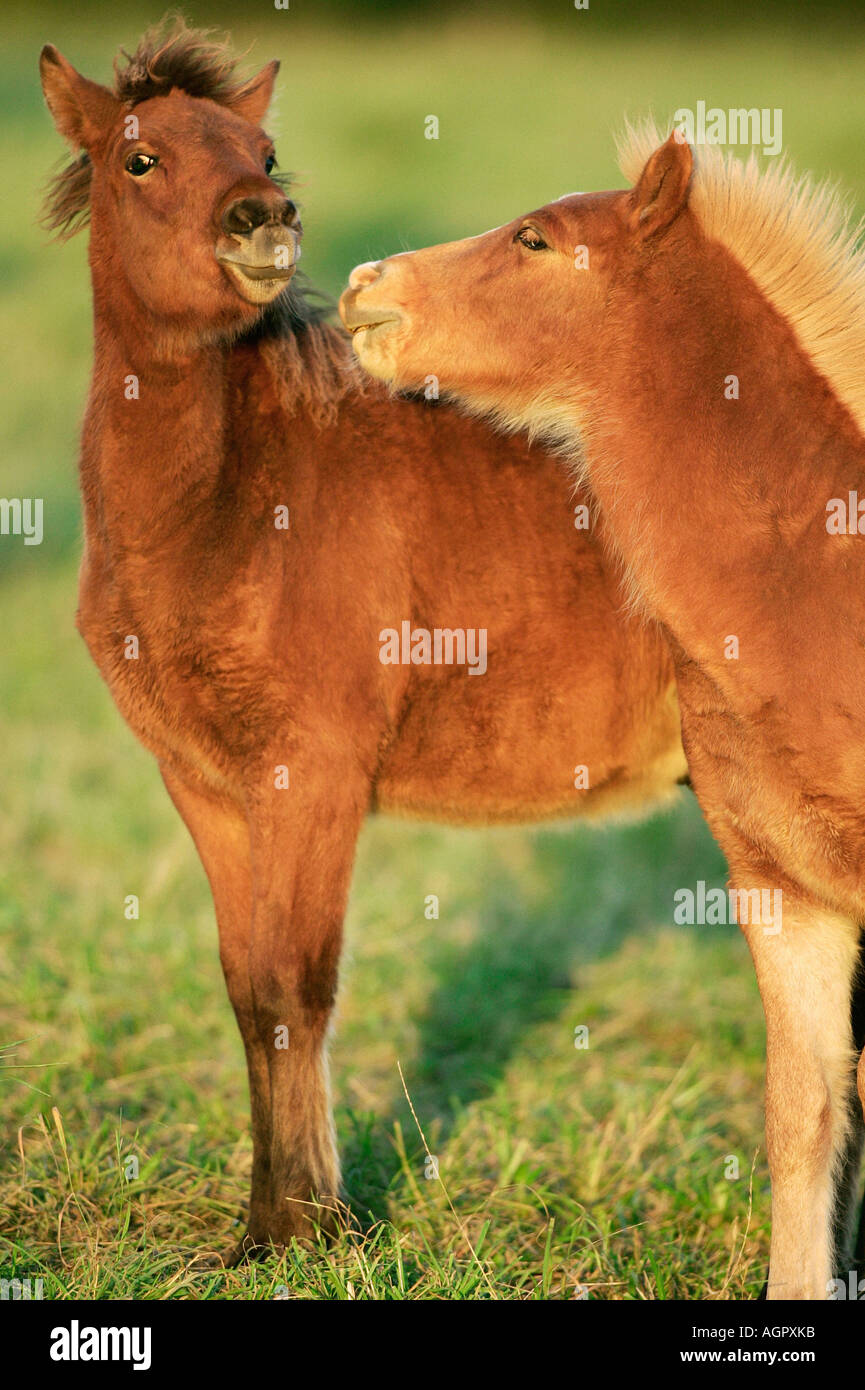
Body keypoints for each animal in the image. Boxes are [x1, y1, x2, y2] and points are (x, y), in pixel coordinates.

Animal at [39, 21, 686, 1267]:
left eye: (262, 151)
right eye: (140, 159)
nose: (263, 221)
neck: (240, 504)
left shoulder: (315, 775)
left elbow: (301, 990)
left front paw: (315, 1229)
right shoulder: (207, 786)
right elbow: (251, 995)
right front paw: (265, 1228)